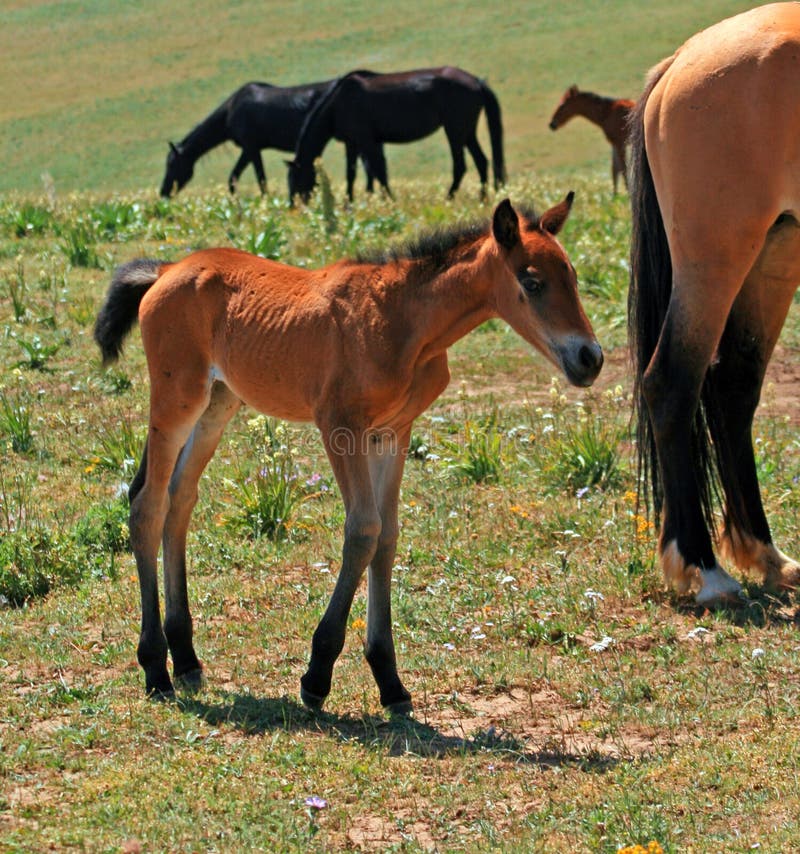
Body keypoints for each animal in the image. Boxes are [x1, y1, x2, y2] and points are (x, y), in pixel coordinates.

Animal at [93, 195, 602, 712]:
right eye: (532, 282)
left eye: (574, 275)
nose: (590, 359)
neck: (403, 321)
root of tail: (166, 270)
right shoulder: (341, 428)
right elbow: (363, 531)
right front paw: (317, 675)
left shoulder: (393, 433)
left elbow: (388, 537)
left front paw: (390, 680)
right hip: (177, 399)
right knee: (148, 506)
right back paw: (156, 668)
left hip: (218, 402)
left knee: (180, 500)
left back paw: (186, 658)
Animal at [159, 79, 381, 199]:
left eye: (172, 164)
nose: (163, 192)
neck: (231, 110)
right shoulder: (249, 149)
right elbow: (236, 178)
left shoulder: (251, 148)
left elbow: (258, 179)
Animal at [287, 66, 506, 204]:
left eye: (296, 179)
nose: (293, 207)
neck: (338, 103)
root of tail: (476, 81)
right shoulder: (352, 143)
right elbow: (352, 173)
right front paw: (350, 203)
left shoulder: (366, 141)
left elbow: (378, 171)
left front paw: (388, 199)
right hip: (467, 132)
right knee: (481, 161)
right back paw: (483, 198)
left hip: (455, 131)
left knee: (460, 166)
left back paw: (449, 198)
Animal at [628, 2, 800, 608]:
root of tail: (680, 60)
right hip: (716, 257)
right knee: (672, 383)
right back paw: (705, 569)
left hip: (775, 254)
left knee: (732, 387)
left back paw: (767, 556)